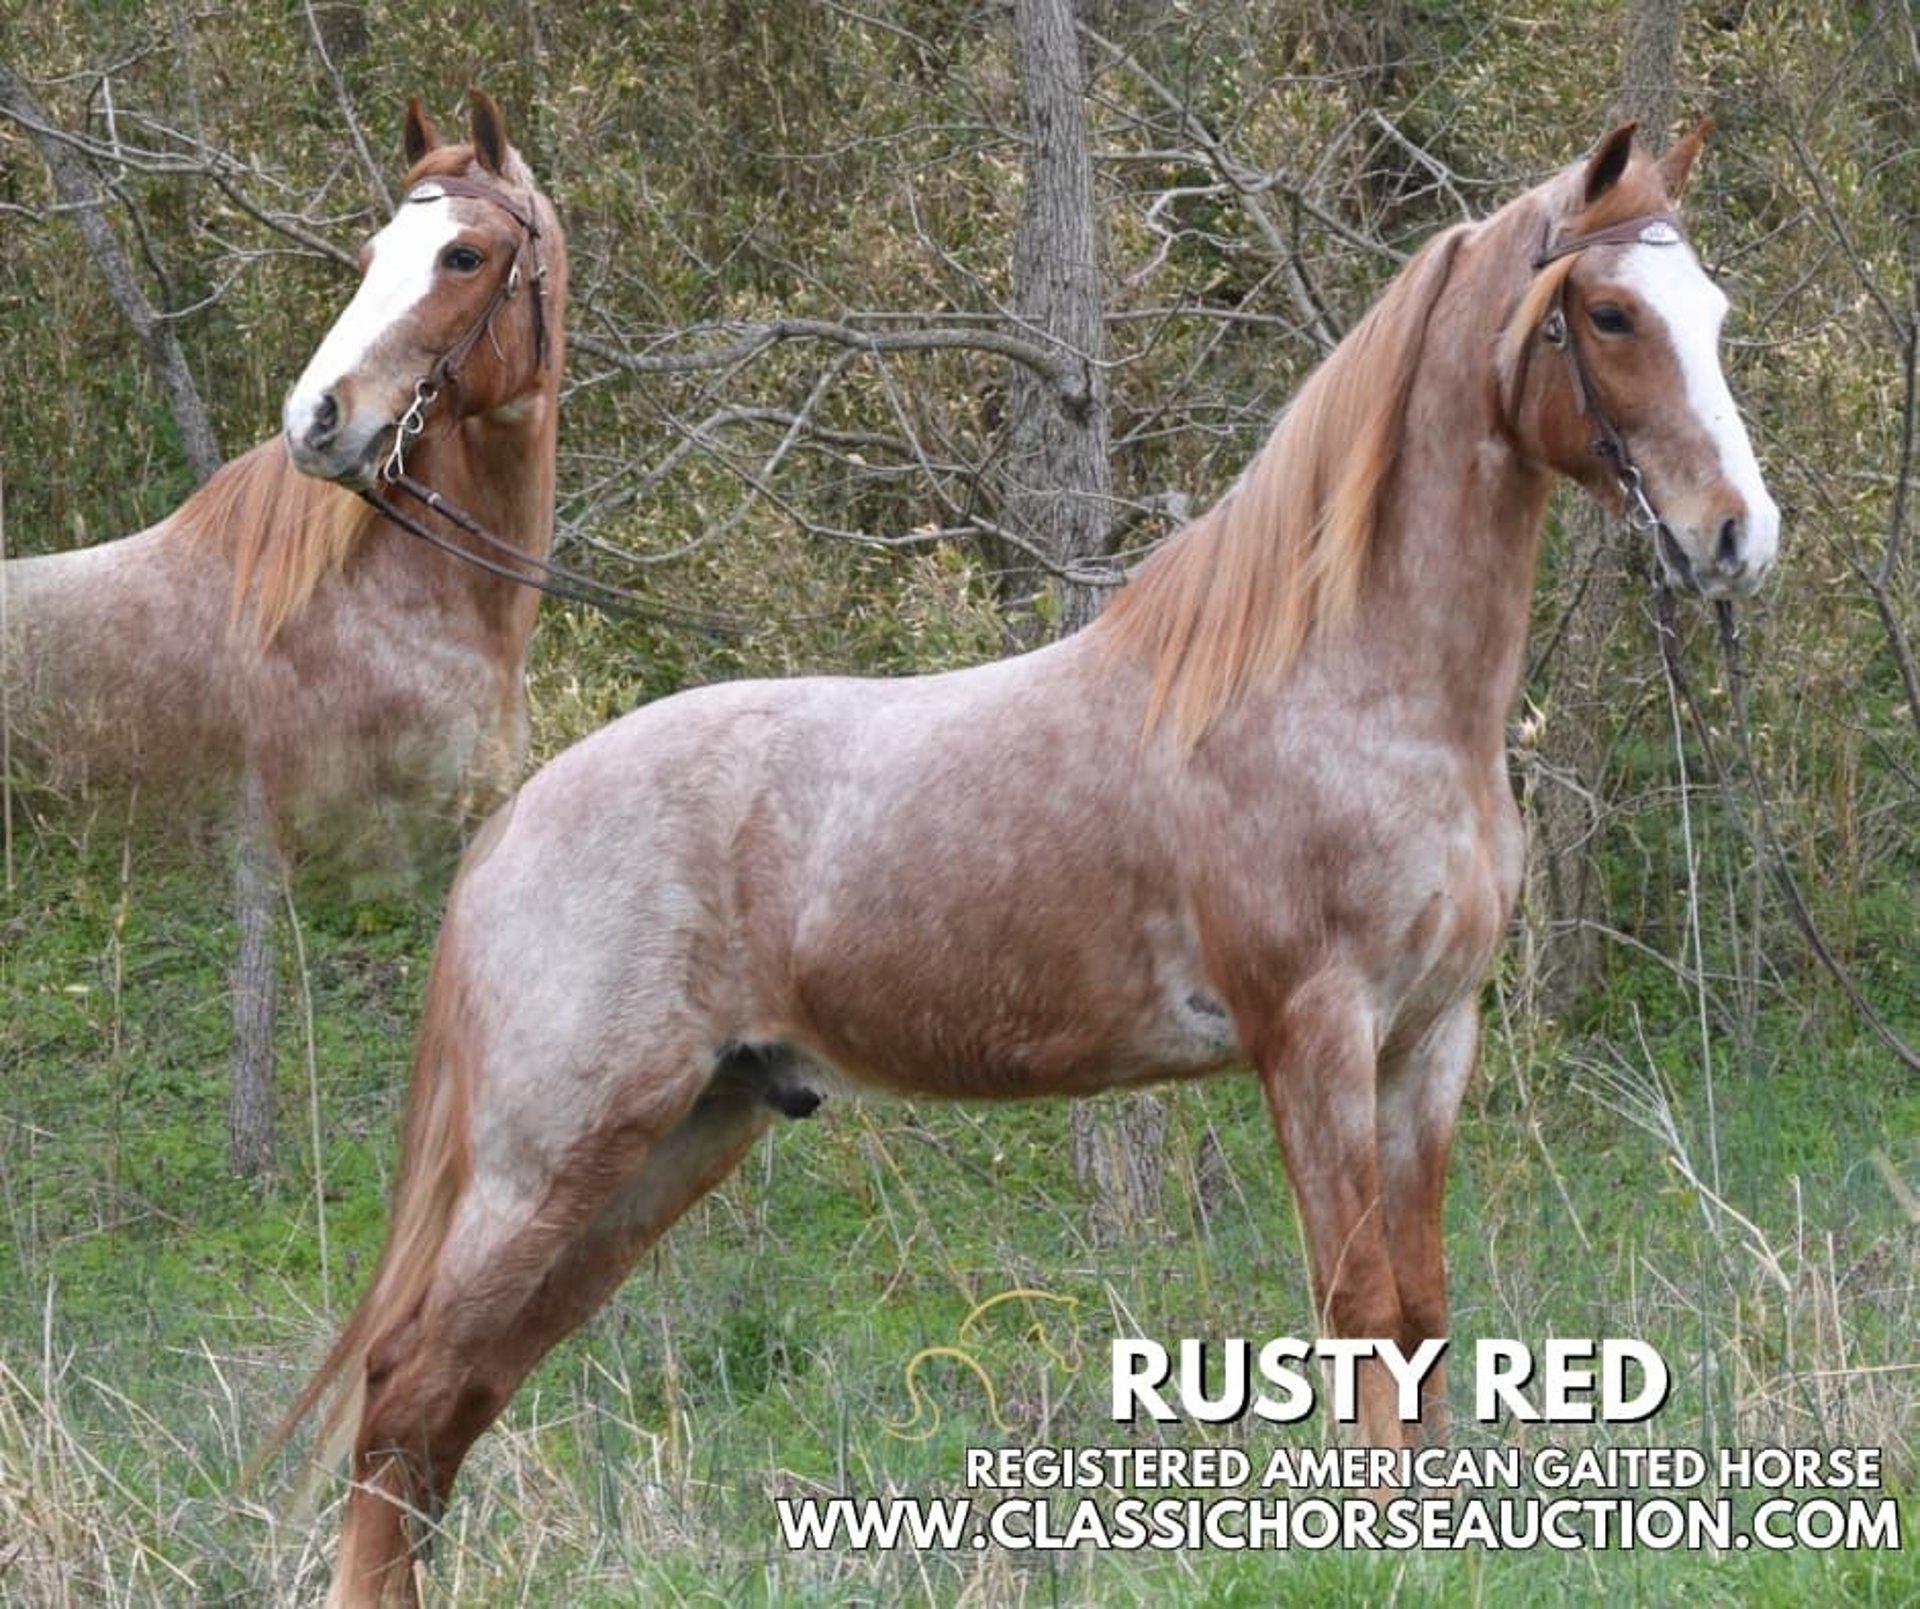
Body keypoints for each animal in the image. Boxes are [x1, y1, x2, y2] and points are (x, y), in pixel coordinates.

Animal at [277, 123, 1777, 1605]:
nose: (1736, 536)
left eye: (1712, 310)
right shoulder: (1315, 1037)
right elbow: (1357, 1309)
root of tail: (513, 827)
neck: (1350, 685)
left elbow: (1420, 1315)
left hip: (671, 1142)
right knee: (407, 1393)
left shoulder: (1428, 1041)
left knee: (451, 1405)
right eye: (1610, 314)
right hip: (557, 1156)